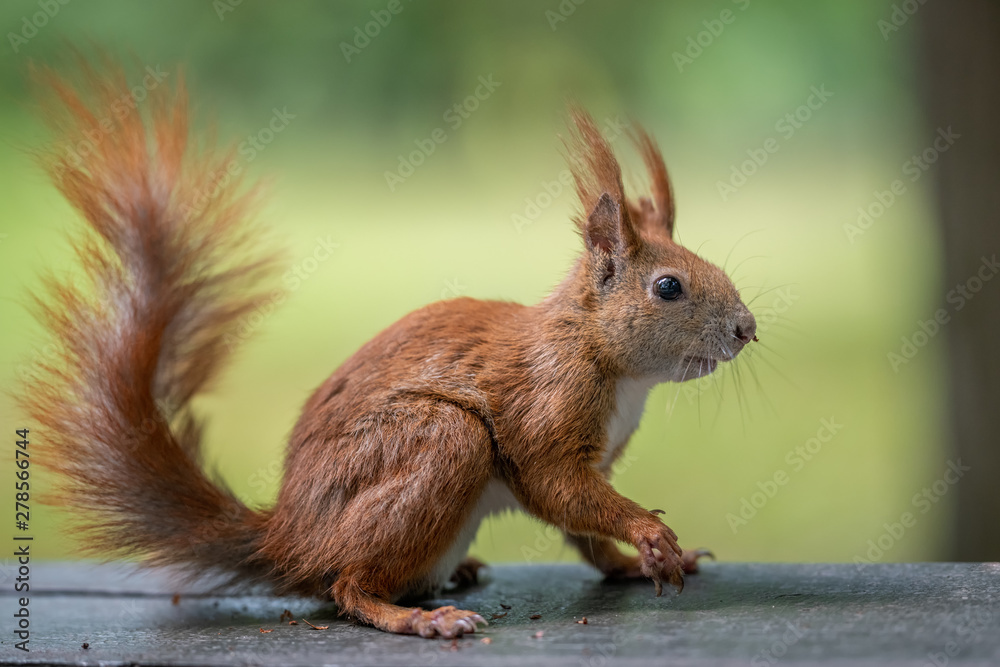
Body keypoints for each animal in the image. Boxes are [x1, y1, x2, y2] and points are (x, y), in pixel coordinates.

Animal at [20, 57, 757, 639]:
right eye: (668, 286)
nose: (747, 329)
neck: (606, 358)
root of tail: (288, 539)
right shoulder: (547, 411)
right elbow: (561, 490)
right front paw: (649, 535)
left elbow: (584, 533)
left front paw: (637, 562)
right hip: (439, 439)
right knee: (347, 587)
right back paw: (418, 617)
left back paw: (453, 576)